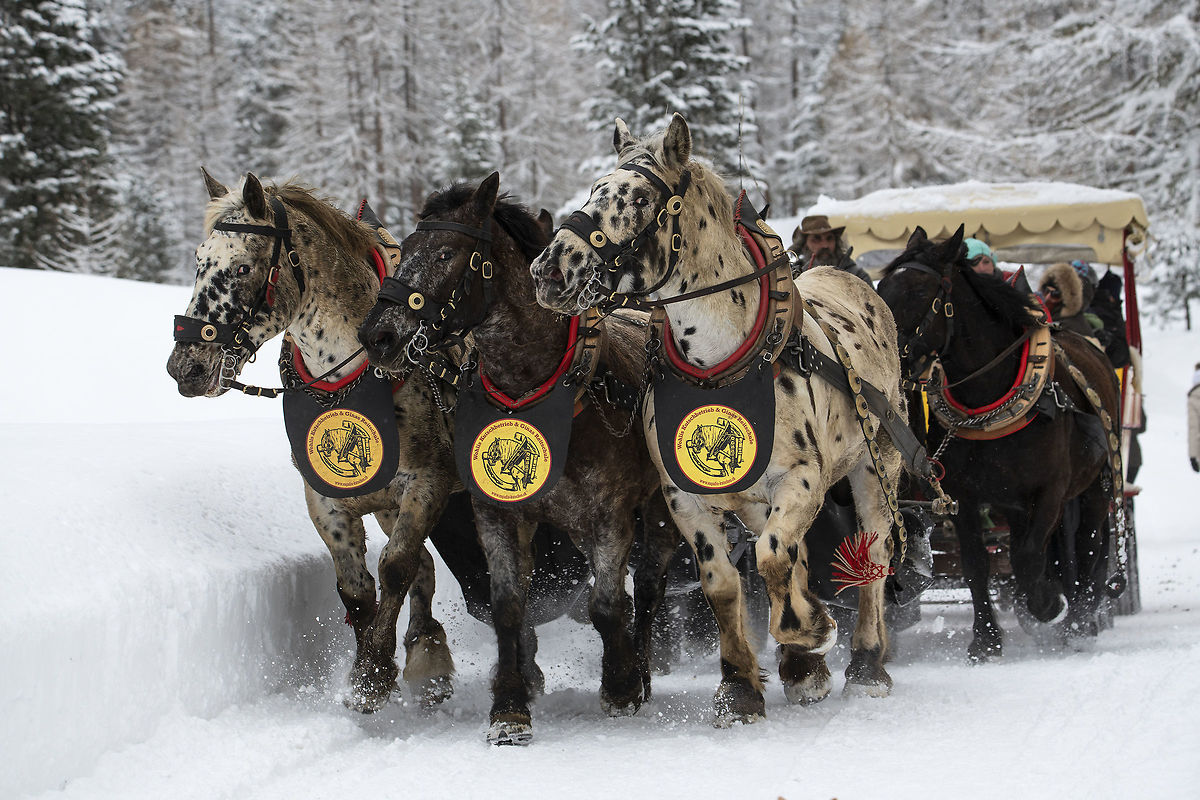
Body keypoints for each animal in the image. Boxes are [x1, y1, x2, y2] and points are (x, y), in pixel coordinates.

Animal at [165, 170, 591, 714]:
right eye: (199, 261)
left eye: (242, 266)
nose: (186, 366)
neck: (348, 375)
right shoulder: (326, 498)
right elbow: (357, 588)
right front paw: (382, 660)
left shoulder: (427, 484)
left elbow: (395, 568)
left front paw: (375, 670)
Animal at [358, 173, 679, 744]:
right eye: (404, 252)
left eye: (445, 253)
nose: (378, 335)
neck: (535, 391)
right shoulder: (498, 516)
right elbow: (509, 606)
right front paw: (509, 708)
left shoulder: (609, 516)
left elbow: (606, 605)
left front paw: (619, 687)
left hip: (658, 513)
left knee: (646, 589)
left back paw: (639, 671)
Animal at [529, 113, 907, 725]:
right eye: (593, 189)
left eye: (637, 198)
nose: (548, 269)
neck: (721, 362)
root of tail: (852, 281)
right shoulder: (687, 497)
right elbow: (725, 583)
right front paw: (741, 685)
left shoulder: (802, 477)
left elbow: (773, 558)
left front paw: (808, 630)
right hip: (753, 497)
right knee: (792, 551)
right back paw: (804, 669)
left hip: (877, 467)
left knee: (870, 551)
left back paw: (867, 663)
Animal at [875, 227, 1121, 660]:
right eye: (882, 286)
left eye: (920, 291)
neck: (989, 396)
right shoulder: (964, 496)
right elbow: (978, 563)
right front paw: (986, 638)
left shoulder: (1051, 491)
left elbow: (1028, 558)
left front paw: (1047, 603)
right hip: (1014, 502)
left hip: (1092, 488)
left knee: (1088, 546)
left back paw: (1079, 619)